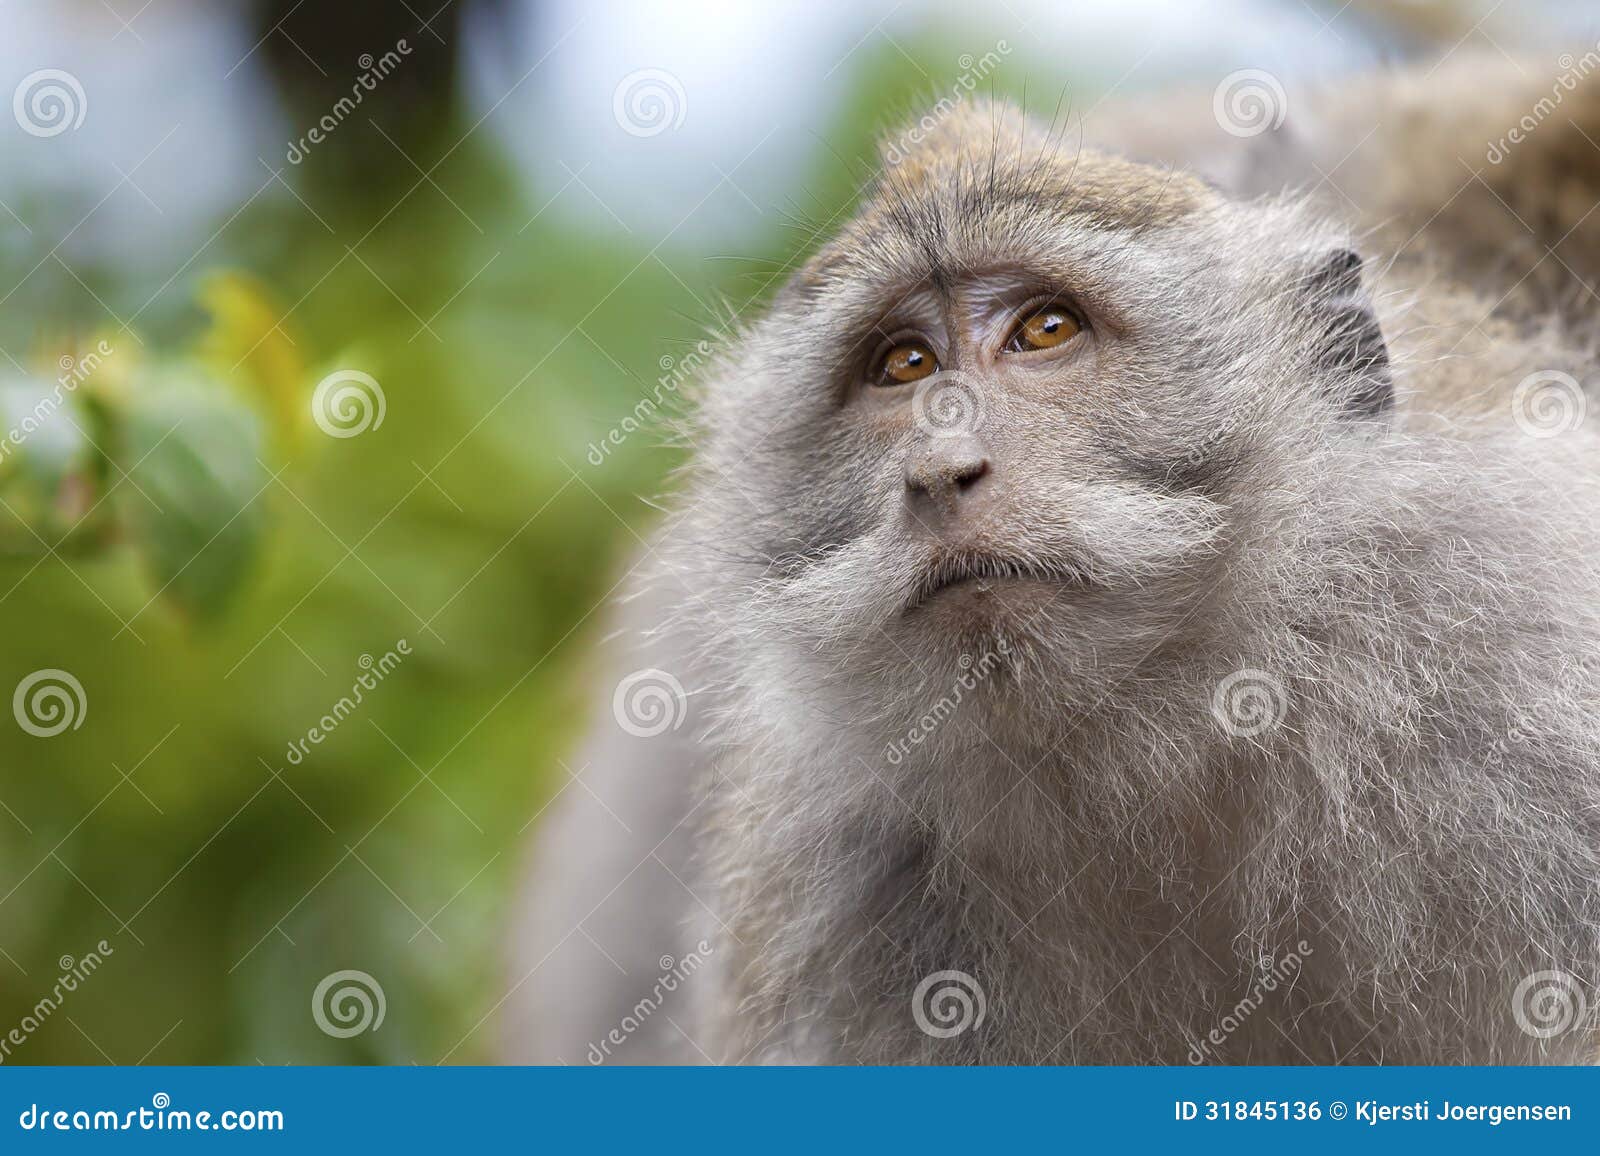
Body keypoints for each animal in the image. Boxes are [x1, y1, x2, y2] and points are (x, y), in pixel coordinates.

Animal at [503, 52, 1600, 1065]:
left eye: (1044, 331)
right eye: (903, 364)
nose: (940, 471)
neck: (1168, 751)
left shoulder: (1528, 682)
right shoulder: (840, 884)